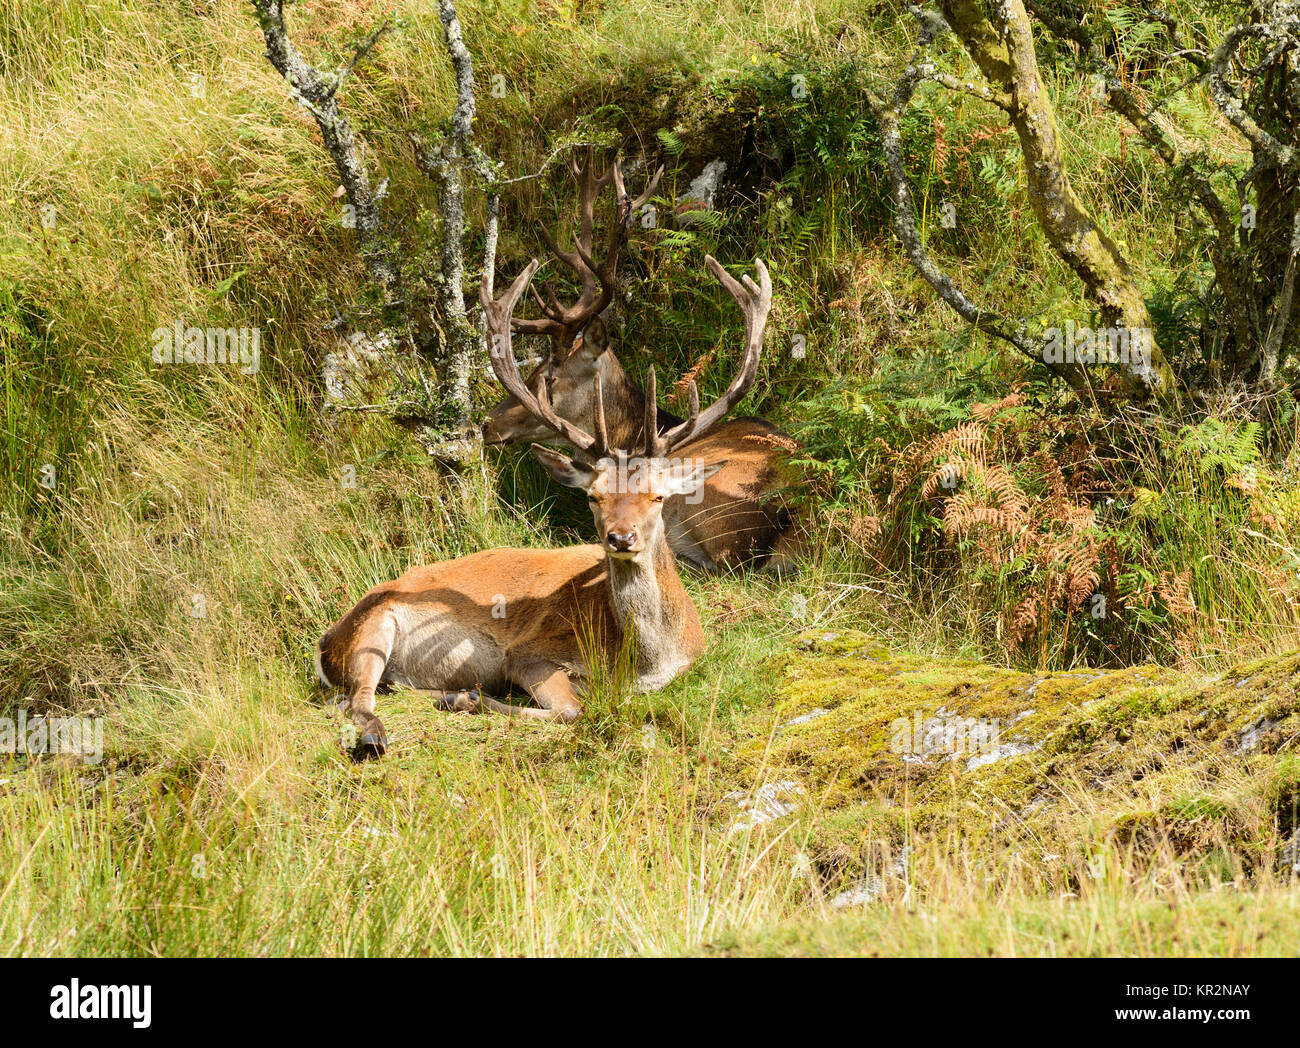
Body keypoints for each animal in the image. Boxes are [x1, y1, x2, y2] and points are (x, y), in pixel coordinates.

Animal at [316, 252, 772, 758]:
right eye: (593, 496)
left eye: (658, 496)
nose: (620, 537)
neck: (647, 663)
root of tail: (324, 643)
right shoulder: (532, 651)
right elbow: (574, 708)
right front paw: (474, 699)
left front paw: (464, 696)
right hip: (371, 629)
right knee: (358, 698)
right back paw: (382, 731)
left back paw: (445, 695)